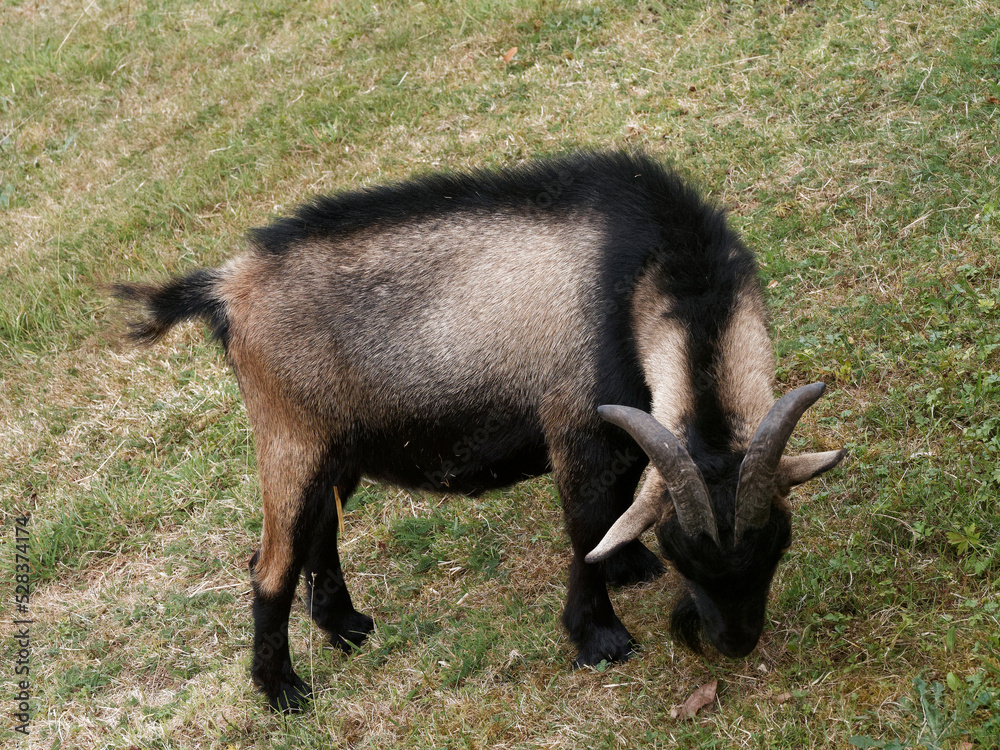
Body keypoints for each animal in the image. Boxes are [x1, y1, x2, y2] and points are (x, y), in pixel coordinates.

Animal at [115, 151, 845, 712]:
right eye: (686, 555)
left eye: (778, 544)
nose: (735, 643)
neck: (645, 264)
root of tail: (225, 290)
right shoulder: (576, 421)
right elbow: (586, 522)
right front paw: (599, 639)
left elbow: (620, 503)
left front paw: (627, 563)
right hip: (288, 435)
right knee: (268, 564)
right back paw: (283, 692)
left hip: (337, 442)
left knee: (318, 528)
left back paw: (346, 627)